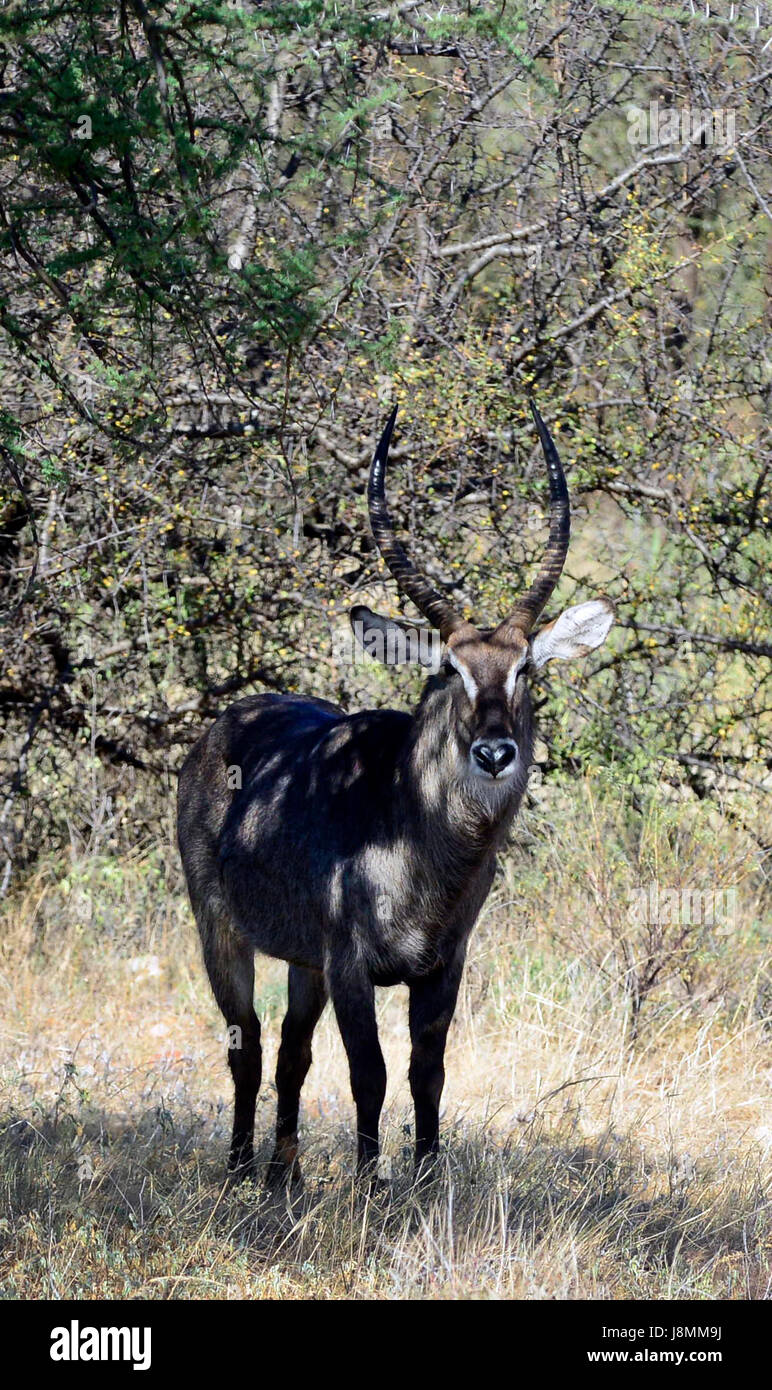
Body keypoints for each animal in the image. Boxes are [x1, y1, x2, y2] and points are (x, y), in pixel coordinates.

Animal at [177, 401, 614, 1183]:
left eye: (525, 668)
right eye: (449, 669)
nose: (494, 753)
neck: (427, 849)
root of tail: (227, 724)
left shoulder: (442, 966)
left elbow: (426, 1073)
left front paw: (428, 1179)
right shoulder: (352, 966)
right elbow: (370, 1074)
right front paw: (370, 1188)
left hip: (304, 964)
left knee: (290, 1053)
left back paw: (284, 1177)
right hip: (220, 933)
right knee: (246, 1044)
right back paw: (238, 1172)